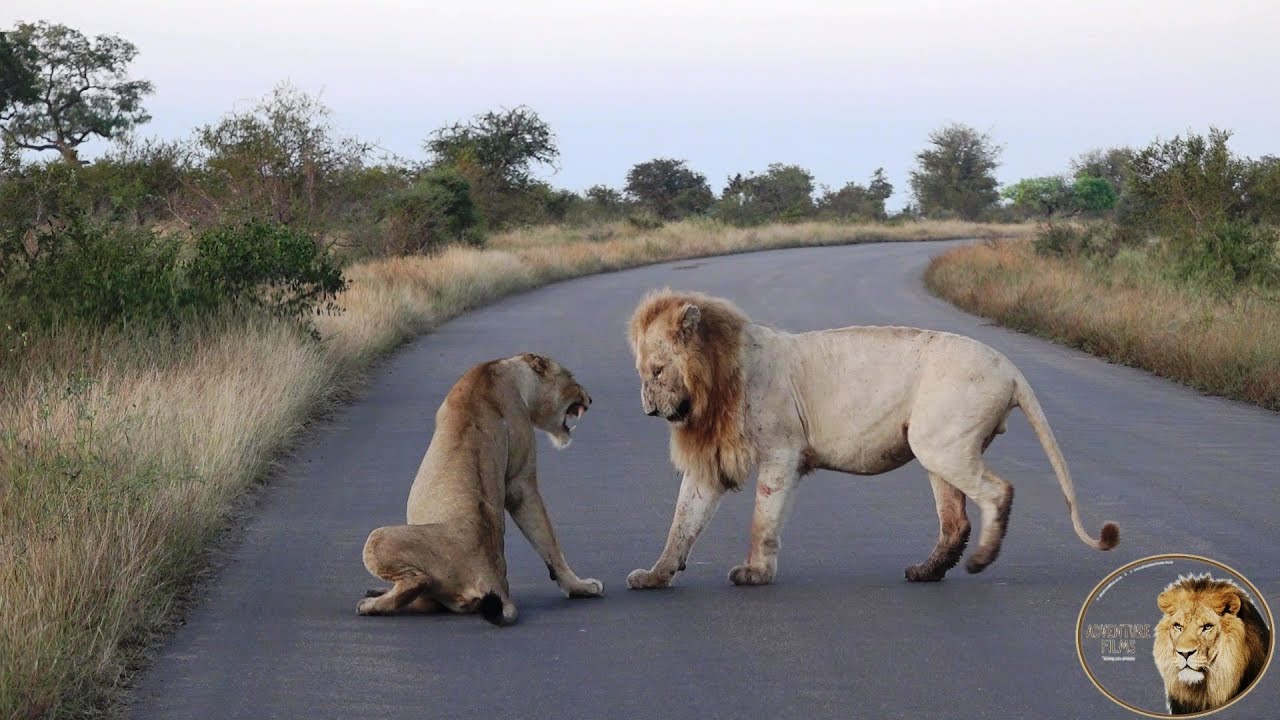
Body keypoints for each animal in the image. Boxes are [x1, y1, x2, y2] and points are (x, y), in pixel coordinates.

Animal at [357, 353, 603, 626]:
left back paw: (370, 604)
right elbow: (548, 542)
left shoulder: (520, 479)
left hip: (379, 536)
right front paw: (578, 587)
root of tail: (491, 580)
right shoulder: (520, 478)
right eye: (570, 376)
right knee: (424, 597)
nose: (590, 398)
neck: (503, 369)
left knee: (417, 581)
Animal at [624, 289, 1119, 590]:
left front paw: (755, 573)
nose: (647, 410)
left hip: (940, 443)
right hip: (939, 446)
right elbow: (682, 522)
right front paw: (655, 575)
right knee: (955, 520)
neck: (716, 380)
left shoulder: (783, 452)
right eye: (643, 372)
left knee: (999, 492)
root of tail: (1011, 368)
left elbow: (763, 520)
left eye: (658, 371)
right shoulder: (709, 464)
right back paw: (926, 572)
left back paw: (980, 560)